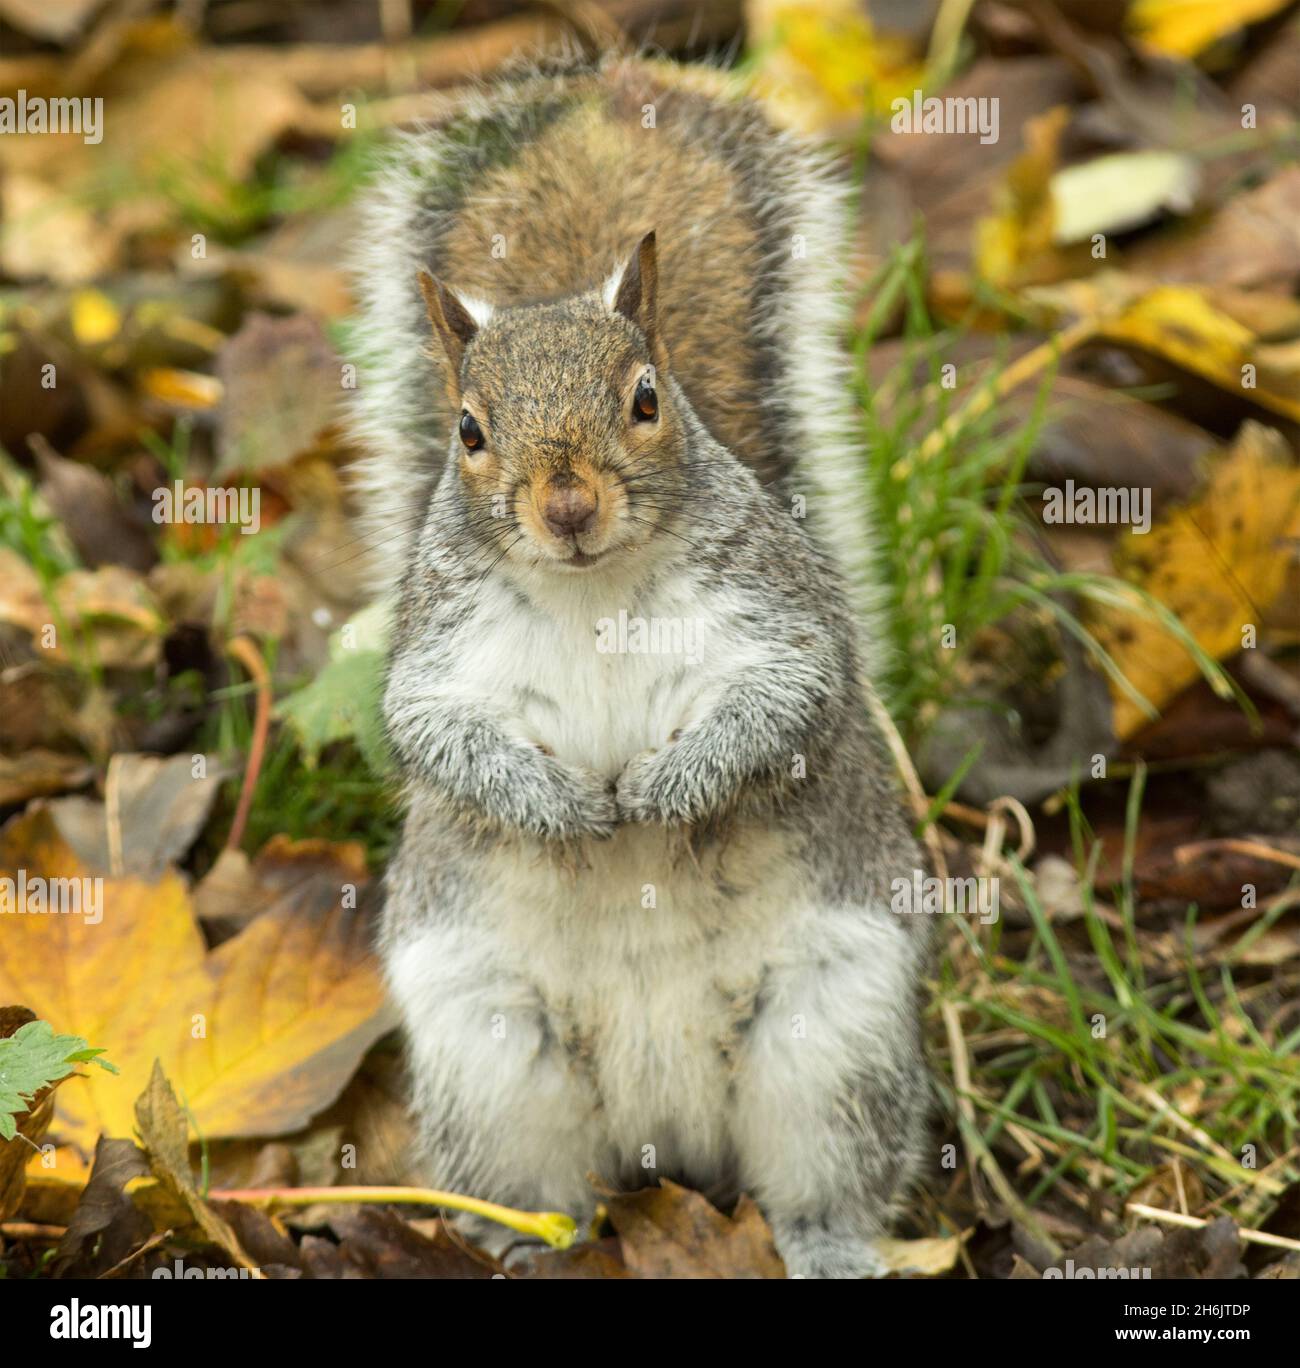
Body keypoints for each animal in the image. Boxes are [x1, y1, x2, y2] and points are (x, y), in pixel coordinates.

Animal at [346, 51, 932, 1278]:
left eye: (647, 398)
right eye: (468, 430)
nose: (567, 506)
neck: (594, 593)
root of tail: (667, 1131)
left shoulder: (784, 619)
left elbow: (784, 707)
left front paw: (668, 790)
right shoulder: (436, 657)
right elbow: (439, 739)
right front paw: (561, 806)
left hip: (830, 1035)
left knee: (829, 1177)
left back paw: (827, 1247)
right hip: (493, 1054)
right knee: (535, 1188)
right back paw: (532, 1248)